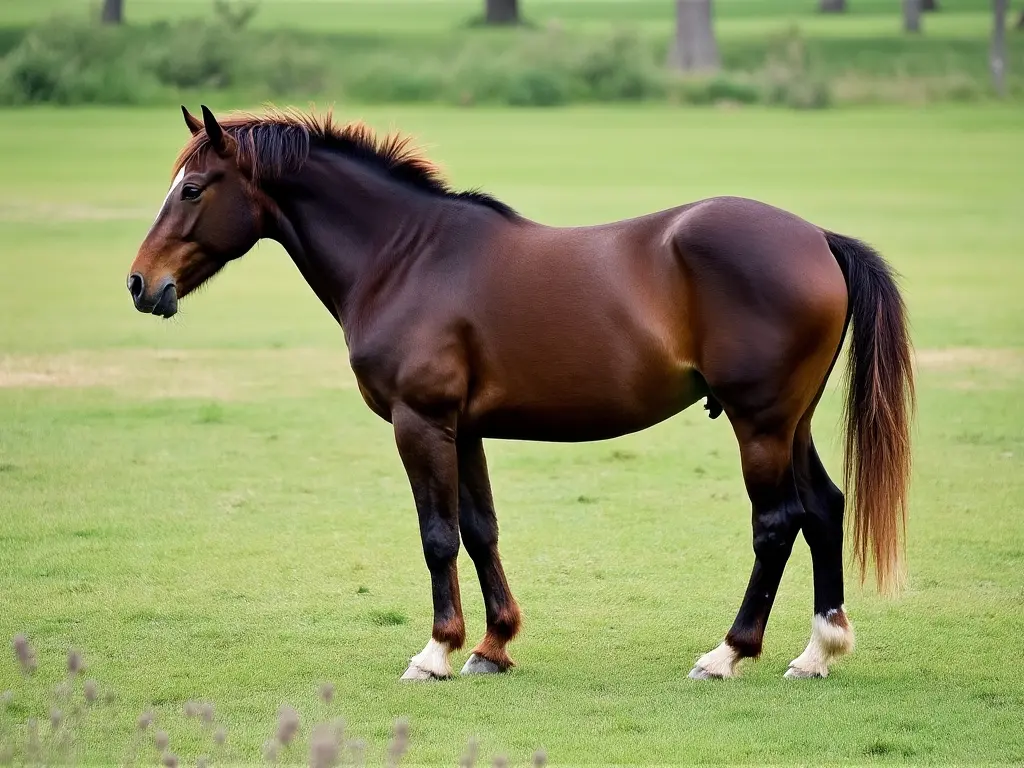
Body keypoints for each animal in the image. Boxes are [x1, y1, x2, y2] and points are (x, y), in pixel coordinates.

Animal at [127, 105, 914, 681]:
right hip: (790, 422)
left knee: (777, 523)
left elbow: (437, 536)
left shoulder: (420, 423)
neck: (404, 256)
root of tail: (815, 237)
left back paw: (727, 653)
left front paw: (437, 651)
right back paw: (817, 652)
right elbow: (480, 531)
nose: (140, 284)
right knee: (823, 509)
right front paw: (492, 646)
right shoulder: (464, 428)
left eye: (192, 189)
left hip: (758, 423)